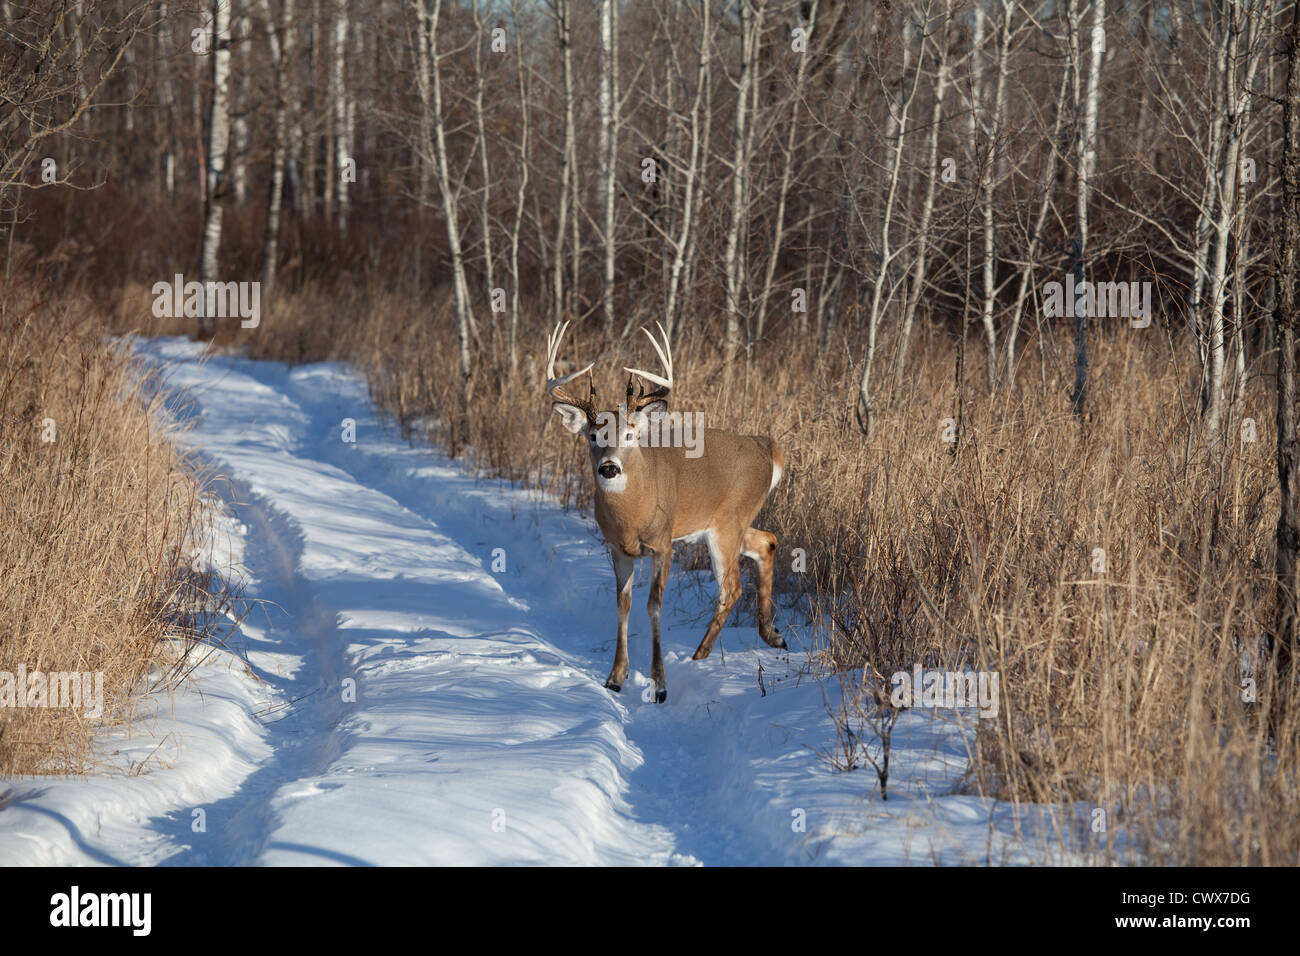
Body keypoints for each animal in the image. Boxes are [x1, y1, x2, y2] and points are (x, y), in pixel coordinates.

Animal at [544, 320, 787, 704]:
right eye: (592, 437)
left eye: (630, 435)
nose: (609, 468)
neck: (632, 516)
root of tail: (767, 448)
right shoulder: (617, 549)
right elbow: (623, 604)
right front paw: (615, 678)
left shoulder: (663, 544)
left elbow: (653, 606)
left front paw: (660, 685)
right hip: (728, 522)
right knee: (767, 541)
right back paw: (773, 635)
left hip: (727, 523)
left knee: (731, 587)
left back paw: (699, 657)